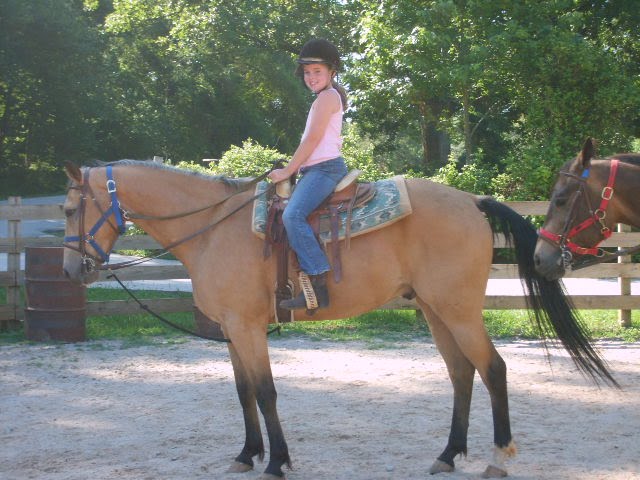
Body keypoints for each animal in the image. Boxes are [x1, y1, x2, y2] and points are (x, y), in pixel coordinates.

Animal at [61, 160, 617, 479]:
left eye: (68, 208)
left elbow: (265, 392)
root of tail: (471, 202)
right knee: (462, 373)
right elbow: (243, 393)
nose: (71, 270)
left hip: (459, 310)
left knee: (493, 369)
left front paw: (277, 462)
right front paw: (247, 454)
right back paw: (446, 454)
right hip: (435, 310)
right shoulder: (231, 332)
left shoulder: (248, 328)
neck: (211, 228)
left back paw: (497, 458)